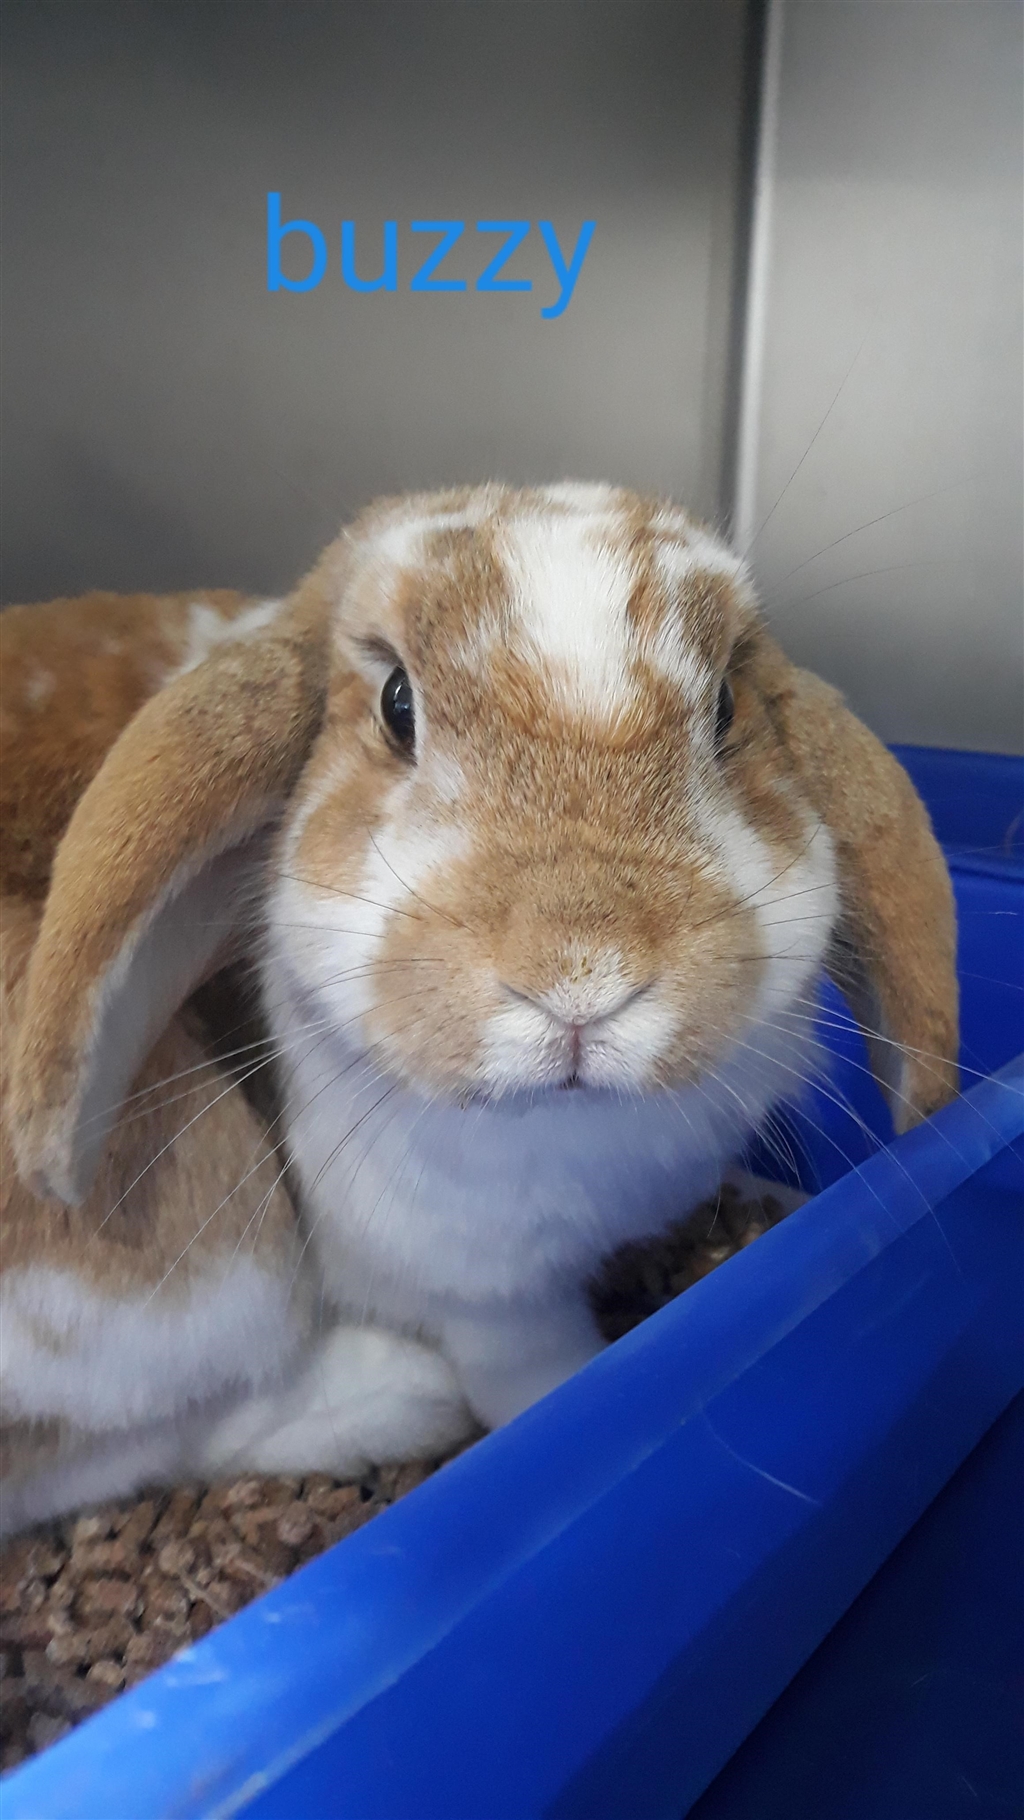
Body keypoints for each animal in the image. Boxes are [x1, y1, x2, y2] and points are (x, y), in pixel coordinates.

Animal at [1, 485, 959, 1531]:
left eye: (727, 707)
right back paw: (400, 1396)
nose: (582, 978)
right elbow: (534, 1375)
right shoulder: (482, 1298)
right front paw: (578, 1405)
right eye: (397, 705)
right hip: (214, 1216)